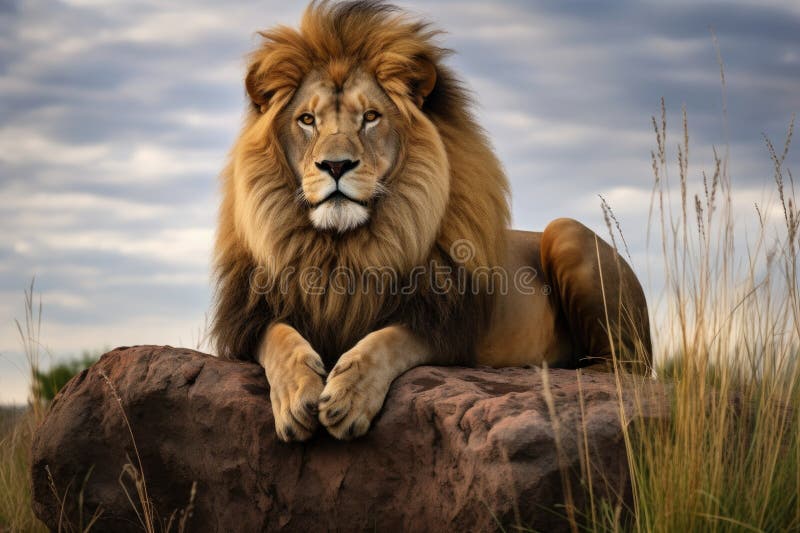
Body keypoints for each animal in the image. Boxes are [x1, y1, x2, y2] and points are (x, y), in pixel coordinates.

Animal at [211, 0, 652, 442]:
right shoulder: (249, 319)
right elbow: (279, 338)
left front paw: (348, 397)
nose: (335, 165)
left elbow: (386, 341)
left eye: (370, 116)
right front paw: (297, 397)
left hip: (567, 232)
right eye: (306, 120)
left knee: (626, 367)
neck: (344, 247)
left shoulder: (446, 325)